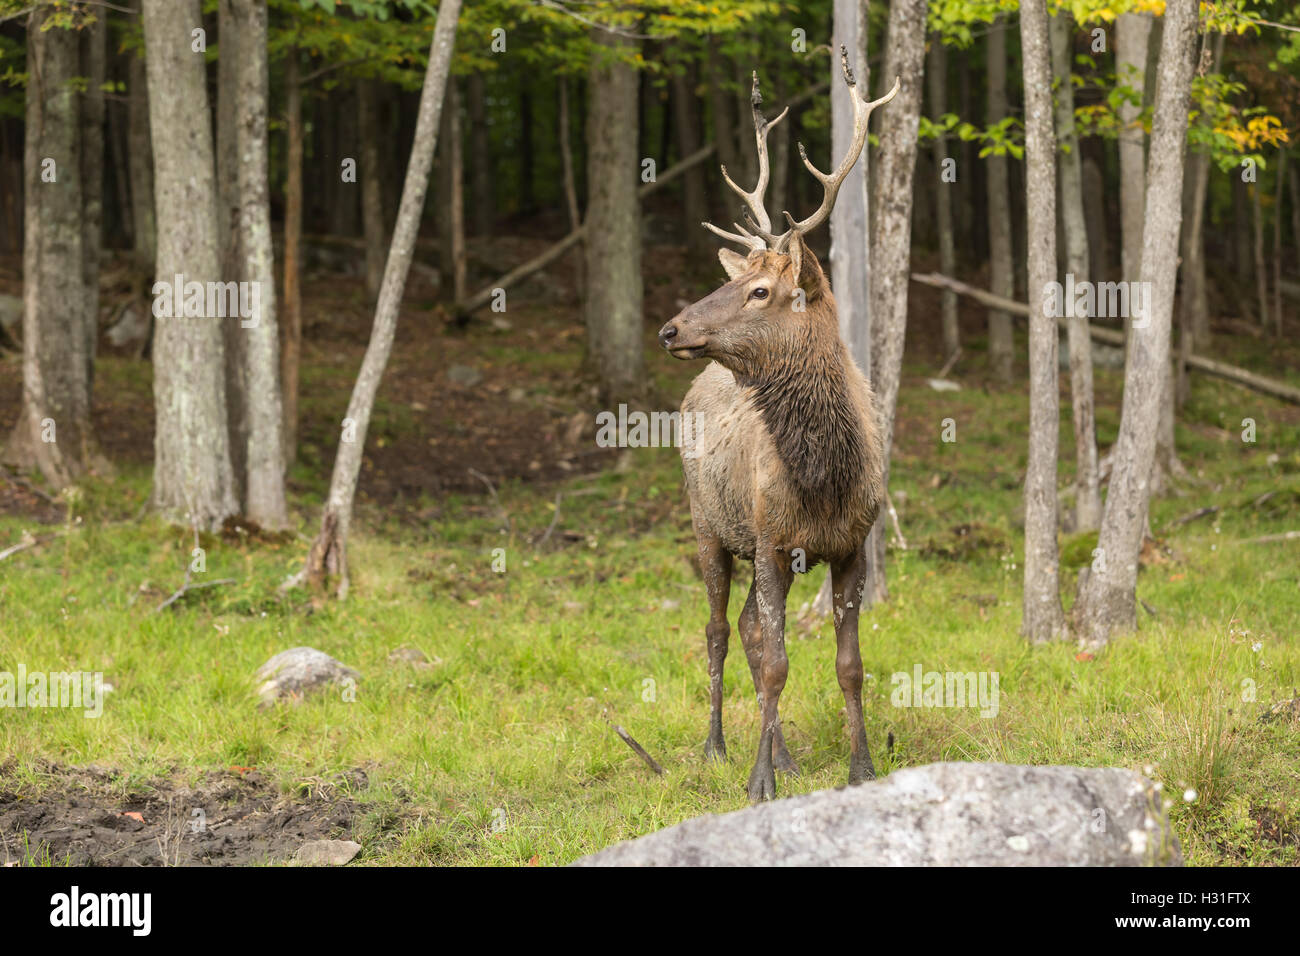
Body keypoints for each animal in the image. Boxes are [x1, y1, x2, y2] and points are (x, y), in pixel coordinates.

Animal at [657, 49, 898, 803]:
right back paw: (718, 746)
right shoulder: (768, 538)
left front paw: (860, 767)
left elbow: (849, 665)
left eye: (760, 290)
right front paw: (758, 784)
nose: (670, 327)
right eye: (738, 281)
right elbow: (774, 664)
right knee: (719, 629)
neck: (825, 478)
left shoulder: (851, 545)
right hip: (708, 524)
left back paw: (787, 755)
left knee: (749, 628)